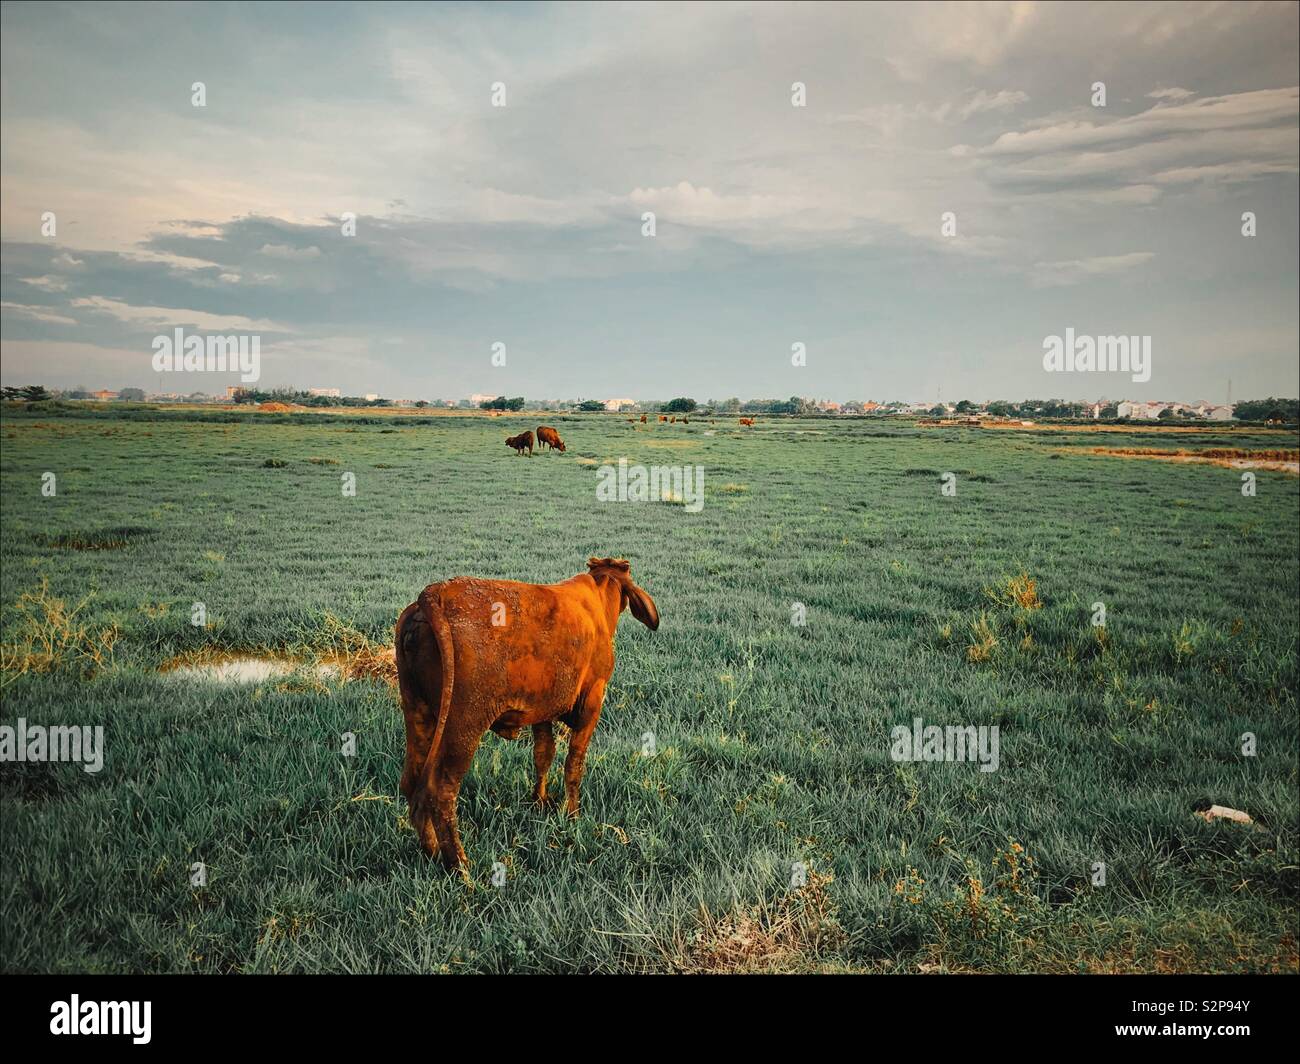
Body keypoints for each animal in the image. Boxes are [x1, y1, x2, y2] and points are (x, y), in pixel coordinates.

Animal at [394, 558, 660, 874]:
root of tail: (436, 593)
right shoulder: (592, 702)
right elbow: (574, 764)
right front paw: (573, 814)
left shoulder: (542, 709)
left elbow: (543, 755)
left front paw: (539, 800)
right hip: (464, 723)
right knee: (440, 790)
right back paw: (460, 868)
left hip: (418, 711)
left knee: (411, 782)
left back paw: (432, 852)